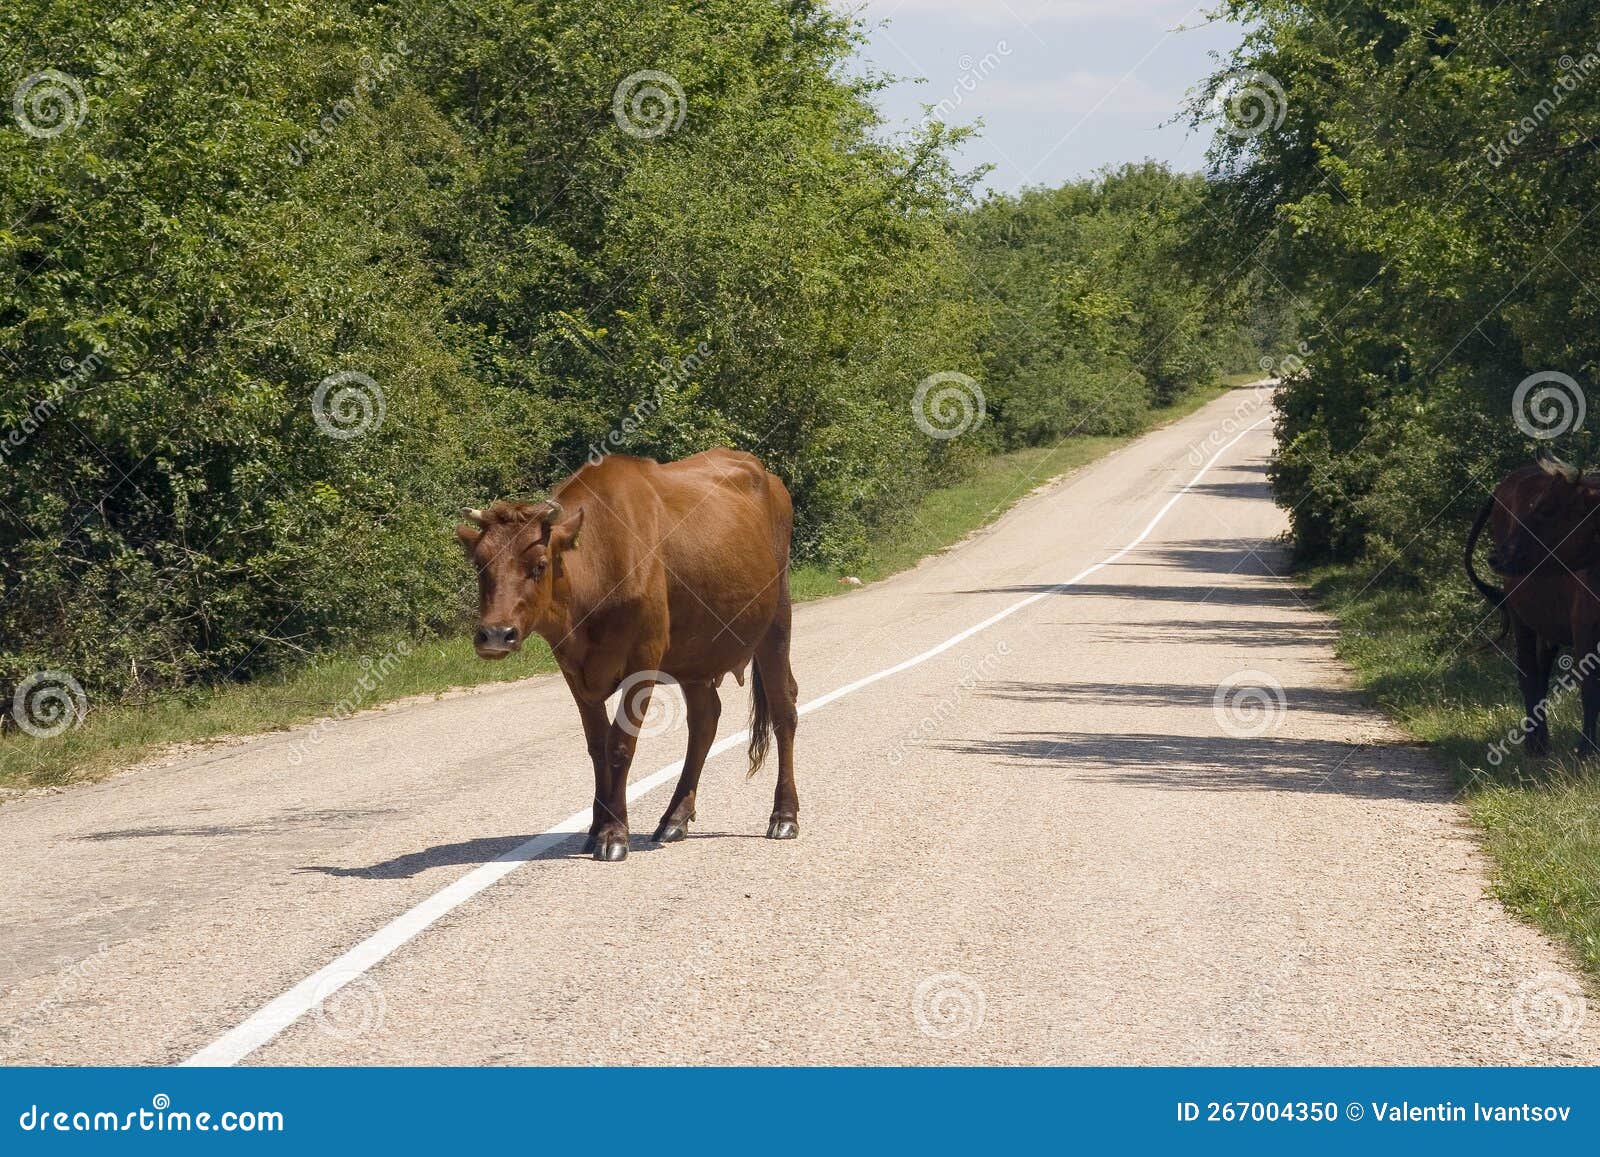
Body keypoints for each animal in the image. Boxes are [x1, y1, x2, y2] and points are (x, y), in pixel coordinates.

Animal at [456, 448, 800, 861]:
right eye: (480, 565)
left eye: (539, 565)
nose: (495, 634)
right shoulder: (573, 667)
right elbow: (597, 745)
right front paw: (596, 827)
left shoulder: (644, 657)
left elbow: (620, 744)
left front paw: (614, 833)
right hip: (696, 652)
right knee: (704, 721)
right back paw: (674, 818)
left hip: (776, 620)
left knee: (783, 709)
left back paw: (784, 816)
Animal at [1465, 456, 1600, 756]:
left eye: (1547, 509)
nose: (1497, 557)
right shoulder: (1585, 630)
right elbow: (1590, 690)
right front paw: (1586, 752)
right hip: (1520, 616)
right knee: (1528, 674)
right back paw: (1534, 744)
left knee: (1541, 673)